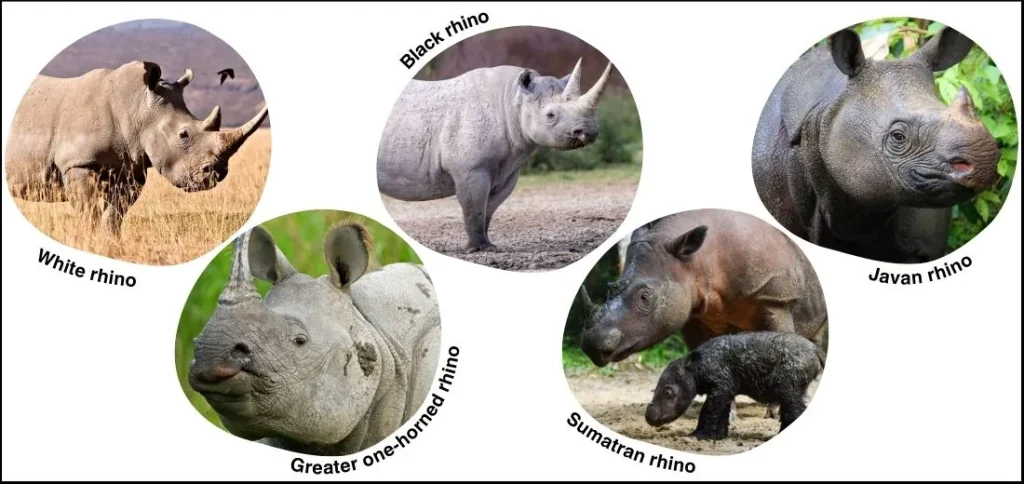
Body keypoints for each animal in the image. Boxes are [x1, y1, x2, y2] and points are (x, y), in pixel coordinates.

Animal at [5, 61, 269, 236]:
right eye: (183, 135)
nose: (217, 173)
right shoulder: (78, 162)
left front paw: (110, 244)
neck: (136, 107)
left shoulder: (132, 167)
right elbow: (88, 211)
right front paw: (89, 241)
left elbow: (115, 214)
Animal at [377, 59, 614, 252]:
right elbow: (474, 207)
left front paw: (489, 246)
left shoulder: (507, 169)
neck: (513, 101)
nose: (588, 132)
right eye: (550, 115)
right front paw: (479, 250)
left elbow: (489, 208)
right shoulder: (471, 168)